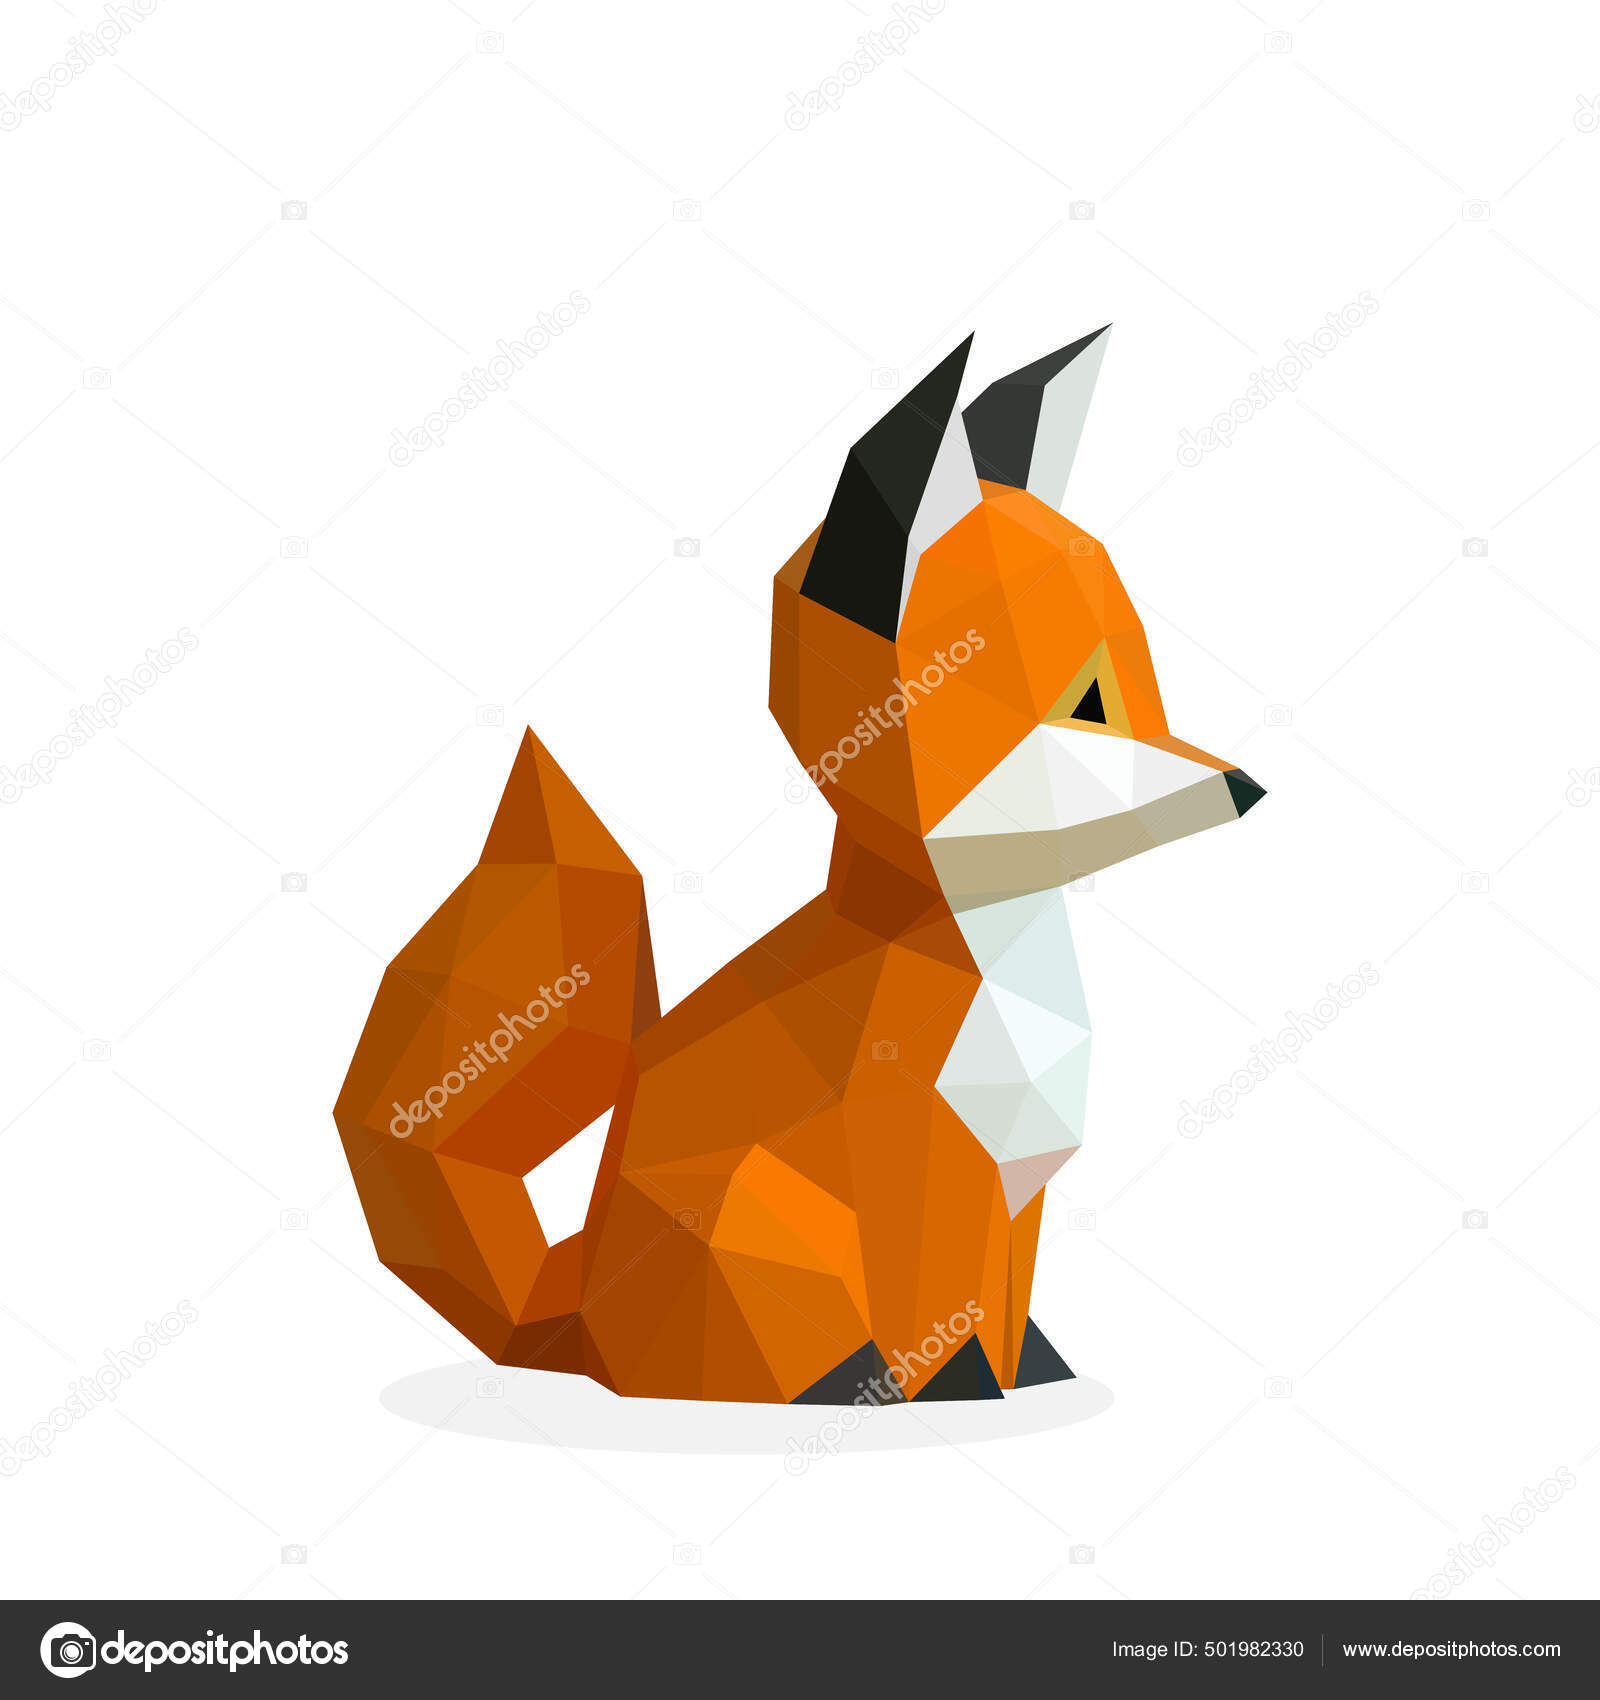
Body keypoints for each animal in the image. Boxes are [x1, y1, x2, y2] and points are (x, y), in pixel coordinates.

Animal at [334, 328, 1266, 1405]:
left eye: (1153, 687)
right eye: (1092, 703)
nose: (1247, 786)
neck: (997, 981)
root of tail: (571, 1317)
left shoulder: (1016, 1193)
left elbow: (1007, 1308)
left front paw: (1028, 1372)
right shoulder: (919, 1167)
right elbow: (934, 1316)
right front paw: (942, 1389)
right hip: (757, 1222)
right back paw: (831, 1378)